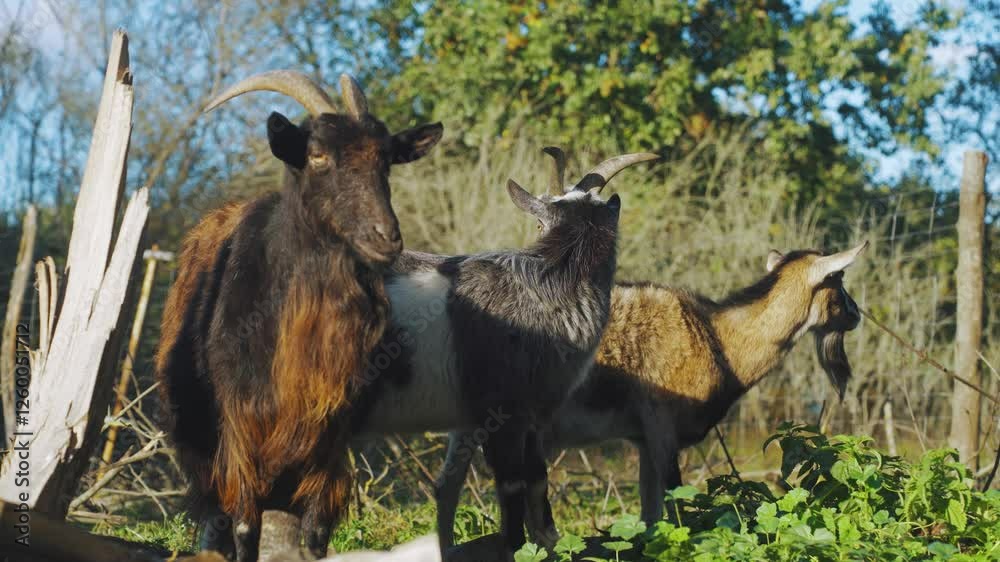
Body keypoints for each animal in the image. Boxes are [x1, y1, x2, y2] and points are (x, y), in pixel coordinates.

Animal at [154, 70, 442, 561]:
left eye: (386, 161)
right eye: (317, 155)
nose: (386, 237)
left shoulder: (329, 440)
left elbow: (316, 533)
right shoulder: (240, 432)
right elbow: (244, 527)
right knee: (215, 516)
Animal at [313, 149, 658, 558]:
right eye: (538, 223)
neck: (545, 285)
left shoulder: (526, 417)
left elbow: (535, 480)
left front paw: (550, 543)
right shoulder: (501, 413)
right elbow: (511, 487)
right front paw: (517, 548)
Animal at [436, 230, 868, 548]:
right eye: (838, 280)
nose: (856, 316)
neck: (717, 337)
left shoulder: (642, 439)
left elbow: (650, 516)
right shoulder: (663, 426)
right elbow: (677, 502)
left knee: (446, 489)